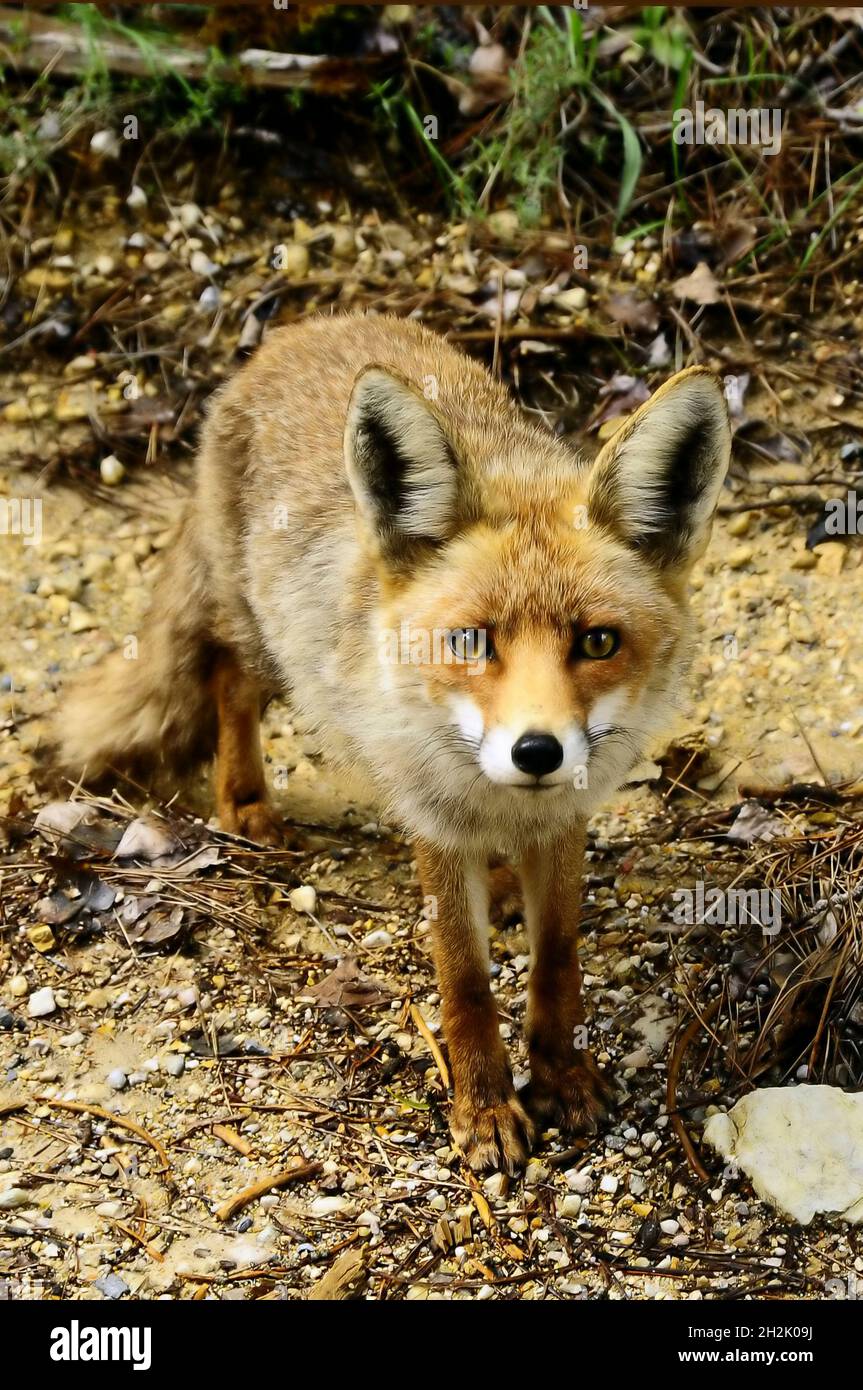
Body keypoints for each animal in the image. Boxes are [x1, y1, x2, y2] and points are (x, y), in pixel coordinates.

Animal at [56, 314, 731, 1172]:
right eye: (471, 641)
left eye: (597, 641)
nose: (537, 753)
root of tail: (304, 328)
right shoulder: (434, 817)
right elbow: (464, 981)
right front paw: (485, 1106)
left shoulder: (563, 821)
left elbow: (556, 962)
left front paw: (558, 1074)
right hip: (260, 632)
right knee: (227, 683)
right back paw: (245, 805)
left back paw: (498, 883)